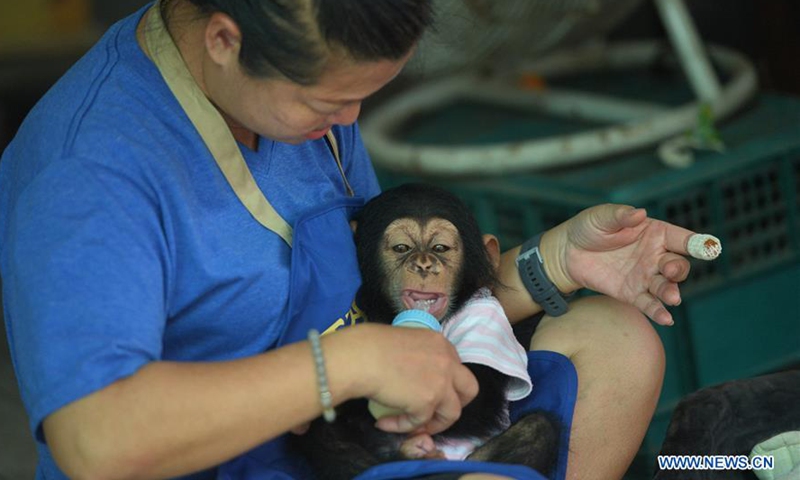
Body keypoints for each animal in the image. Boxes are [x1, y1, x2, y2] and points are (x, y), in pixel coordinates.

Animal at [291, 183, 559, 479]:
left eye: (440, 247)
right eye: (401, 247)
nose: (423, 264)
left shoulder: (485, 317)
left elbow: (471, 395)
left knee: (538, 429)